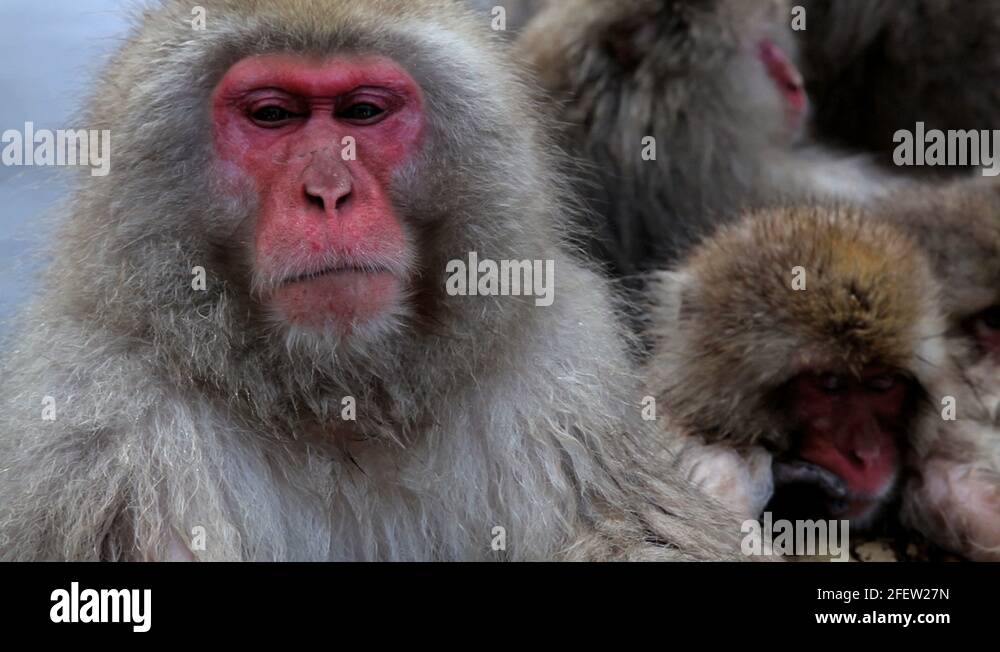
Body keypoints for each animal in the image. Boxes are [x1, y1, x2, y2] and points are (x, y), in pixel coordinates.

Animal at [0, 0, 745, 562]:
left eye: (362, 112)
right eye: (272, 115)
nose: (329, 192)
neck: (338, 405)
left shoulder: (565, 383)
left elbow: (645, 535)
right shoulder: (94, 435)